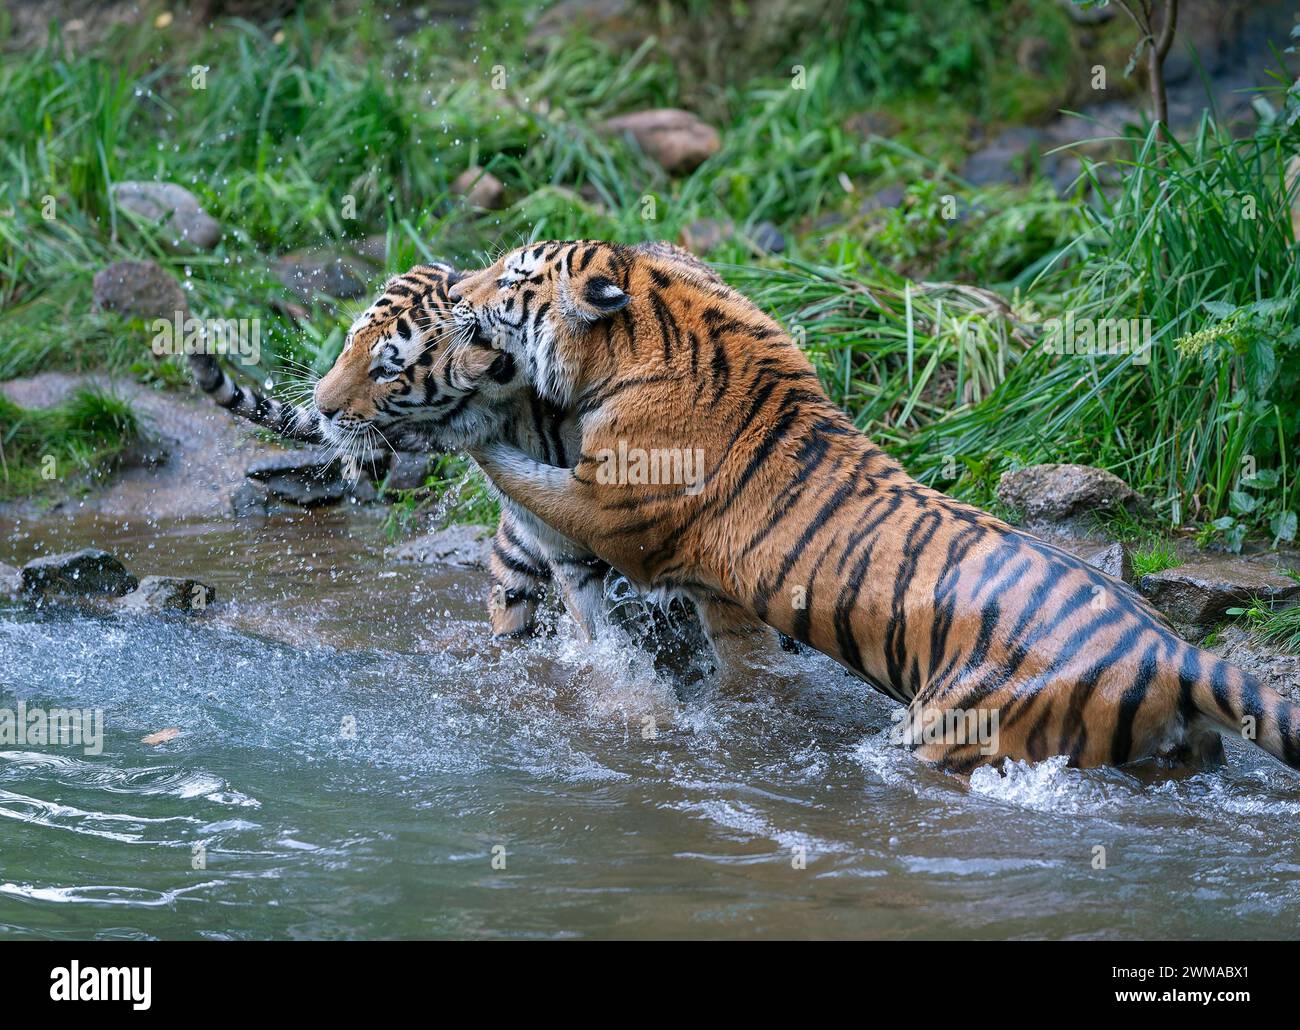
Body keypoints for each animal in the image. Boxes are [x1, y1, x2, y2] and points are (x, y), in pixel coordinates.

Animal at [447, 238, 1300, 773]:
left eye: (514, 277)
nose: (454, 287)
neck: (660, 320)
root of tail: (1177, 652)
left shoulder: (612, 510)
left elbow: (523, 476)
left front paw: (462, 425)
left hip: (952, 729)